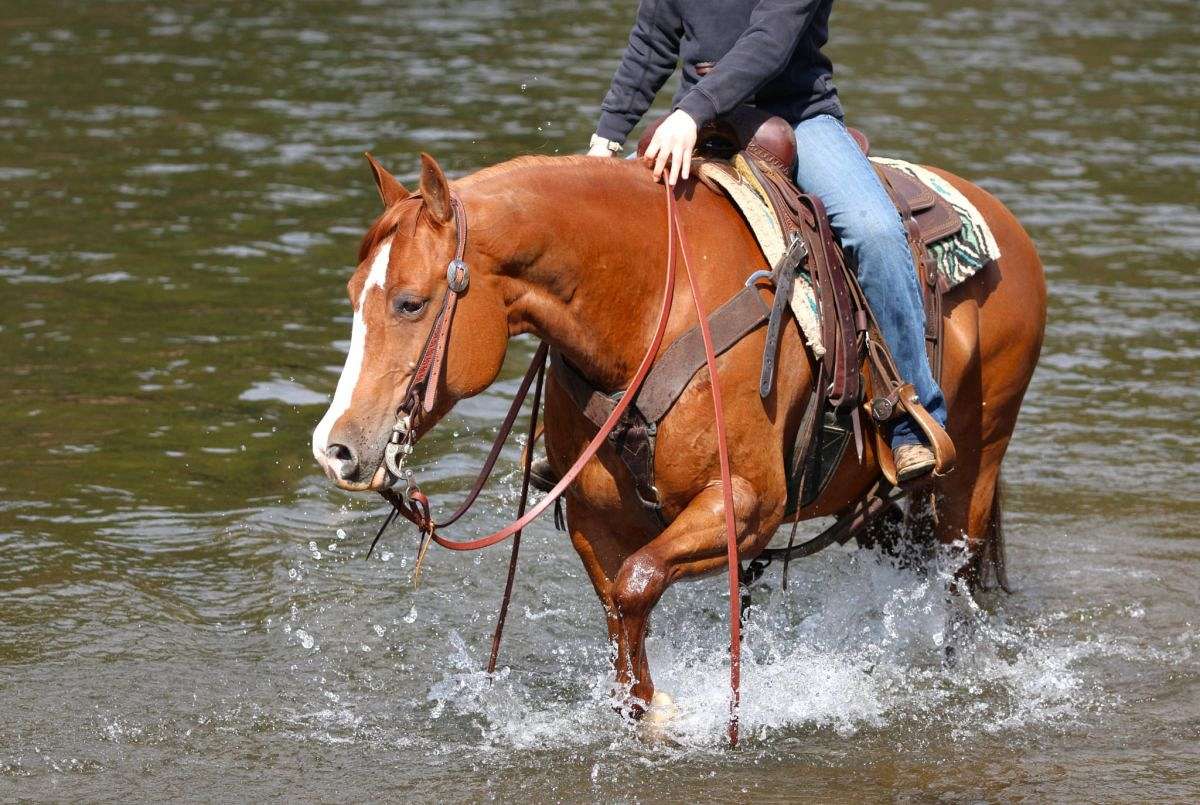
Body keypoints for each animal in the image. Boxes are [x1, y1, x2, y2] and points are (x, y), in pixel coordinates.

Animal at [311, 150, 1046, 721]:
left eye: (410, 302)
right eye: (348, 293)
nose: (336, 448)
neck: (649, 311)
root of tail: (1003, 222)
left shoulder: (748, 504)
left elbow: (637, 583)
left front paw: (667, 710)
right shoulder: (594, 515)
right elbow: (618, 602)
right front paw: (643, 706)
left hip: (974, 467)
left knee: (954, 578)